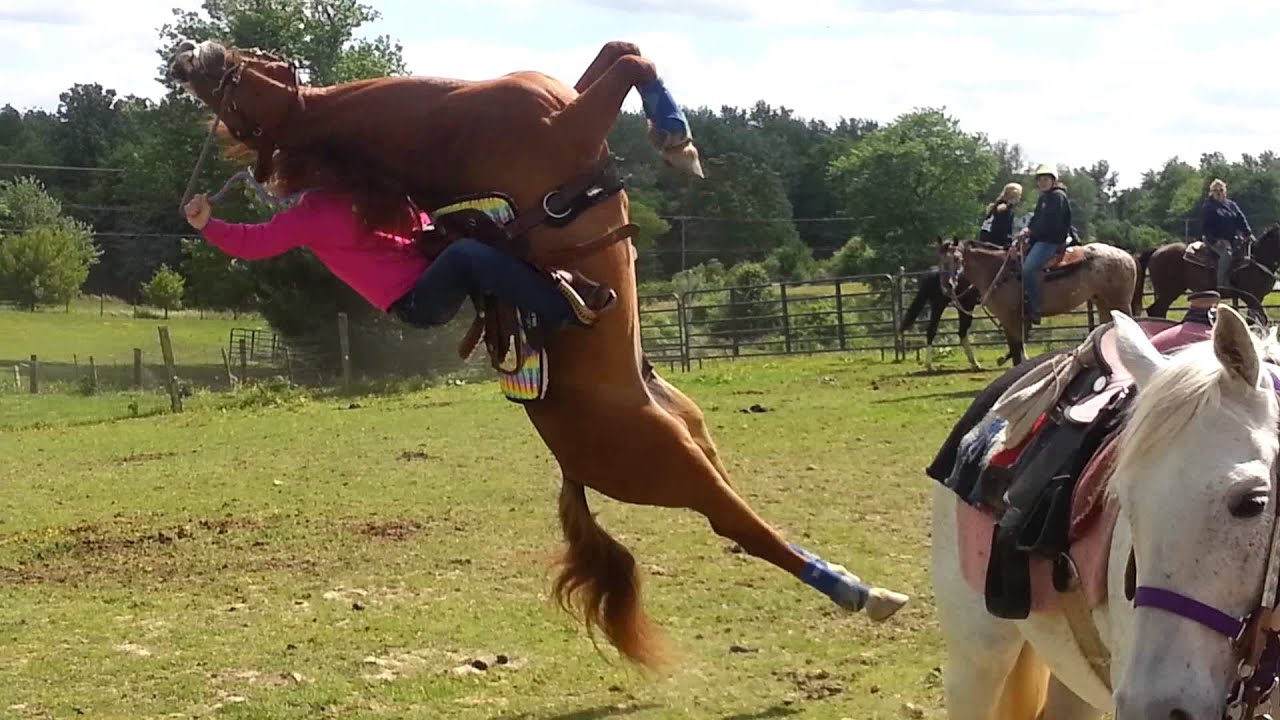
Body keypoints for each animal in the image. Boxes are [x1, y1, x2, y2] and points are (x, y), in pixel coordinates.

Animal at [167, 39, 907, 669]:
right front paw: (676, 141)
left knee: (736, 513)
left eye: (229, 103)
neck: (449, 119)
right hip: (672, 468)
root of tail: (571, 464)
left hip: (695, 438)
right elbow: (630, 60)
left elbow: (616, 51)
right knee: (739, 527)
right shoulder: (573, 125)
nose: (188, 57)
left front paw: (677, 137)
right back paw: (865, 595)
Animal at [936, 237, 1136, 366]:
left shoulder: (1011, 319)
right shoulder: (1008, 321)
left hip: (1120, 303)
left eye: (957, 258)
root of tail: (1127, 256)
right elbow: (1017, 350)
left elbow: (1017, 352)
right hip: (1103, 303)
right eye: (939, 259)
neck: (997, 272)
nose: (946, 285)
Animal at [1133, 223, 1280, 319]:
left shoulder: (1256, 297)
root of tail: (1157, 251)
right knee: (1157, 310)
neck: (1259, 258)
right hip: (1169, 291)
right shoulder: (1252, 296)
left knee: (1158, 310)